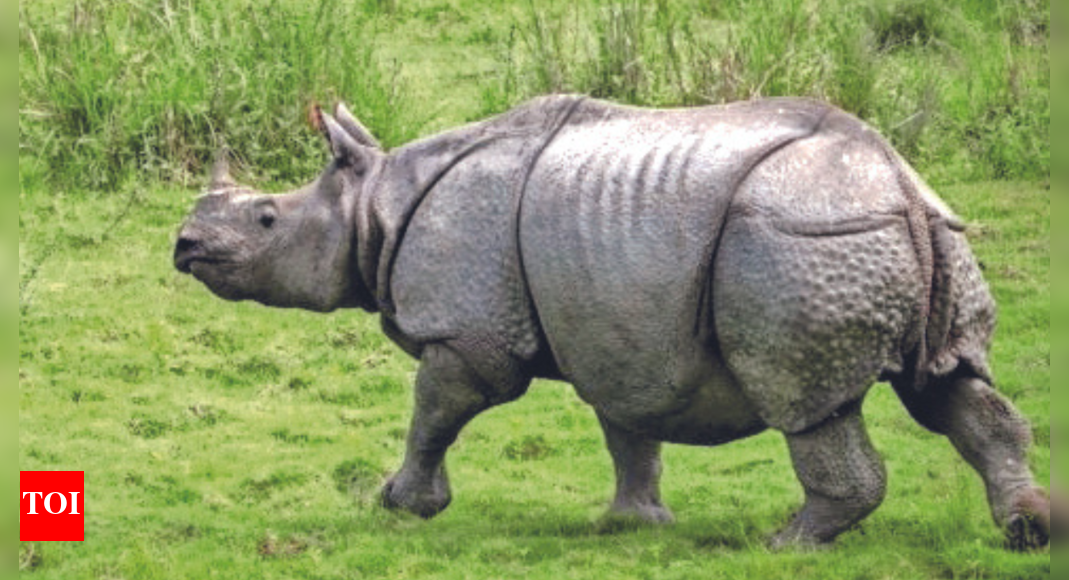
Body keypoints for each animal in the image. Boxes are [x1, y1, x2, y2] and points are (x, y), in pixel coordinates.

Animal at [174, 95, 1053, 550]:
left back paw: (786, 544)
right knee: (948, 385)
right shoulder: (619, 326)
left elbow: (435, 413)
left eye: (264, 219)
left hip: (797, 239)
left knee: (807, 404)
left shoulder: (468, 332)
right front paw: (632, 523)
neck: (372, 206)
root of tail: (897, 181)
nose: (184, 246)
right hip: (922, 235)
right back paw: (1028, 528)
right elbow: (629, 426)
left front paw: (400, 507)